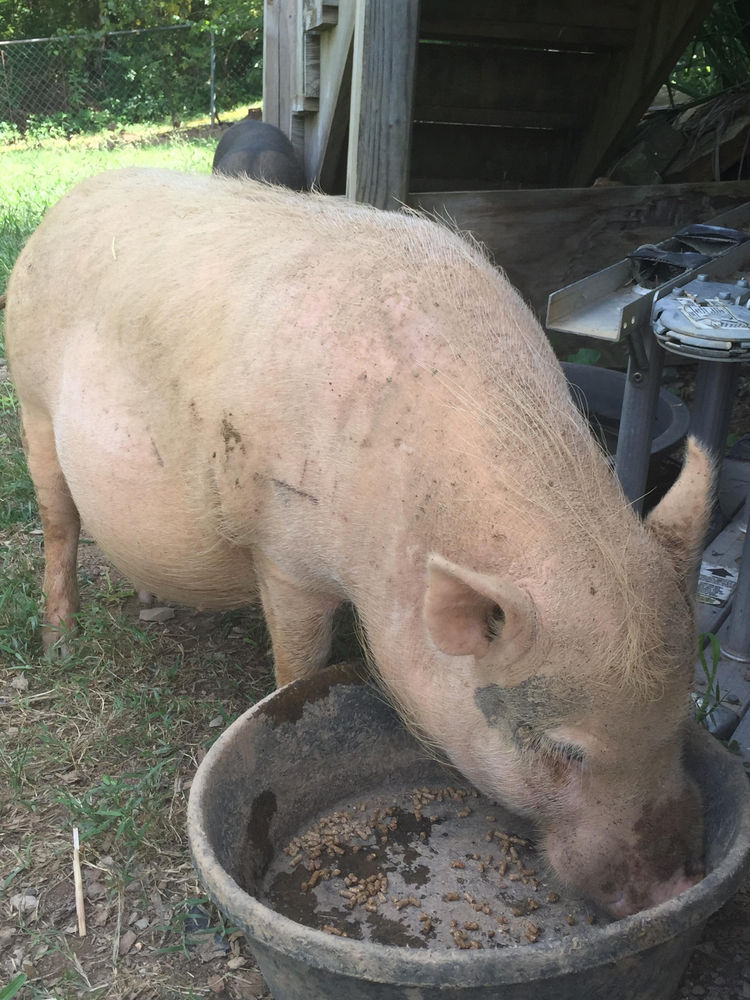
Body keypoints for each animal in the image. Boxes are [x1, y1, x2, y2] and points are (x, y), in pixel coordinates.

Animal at [5, 167, 712, 918]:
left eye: (680, 718)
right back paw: (60, 643)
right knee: (58, 523)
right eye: (568, 750)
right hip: (33, 401)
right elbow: (300, 664)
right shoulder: (283, 556)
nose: (679, 882)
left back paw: (144, 601)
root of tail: (67, 204)